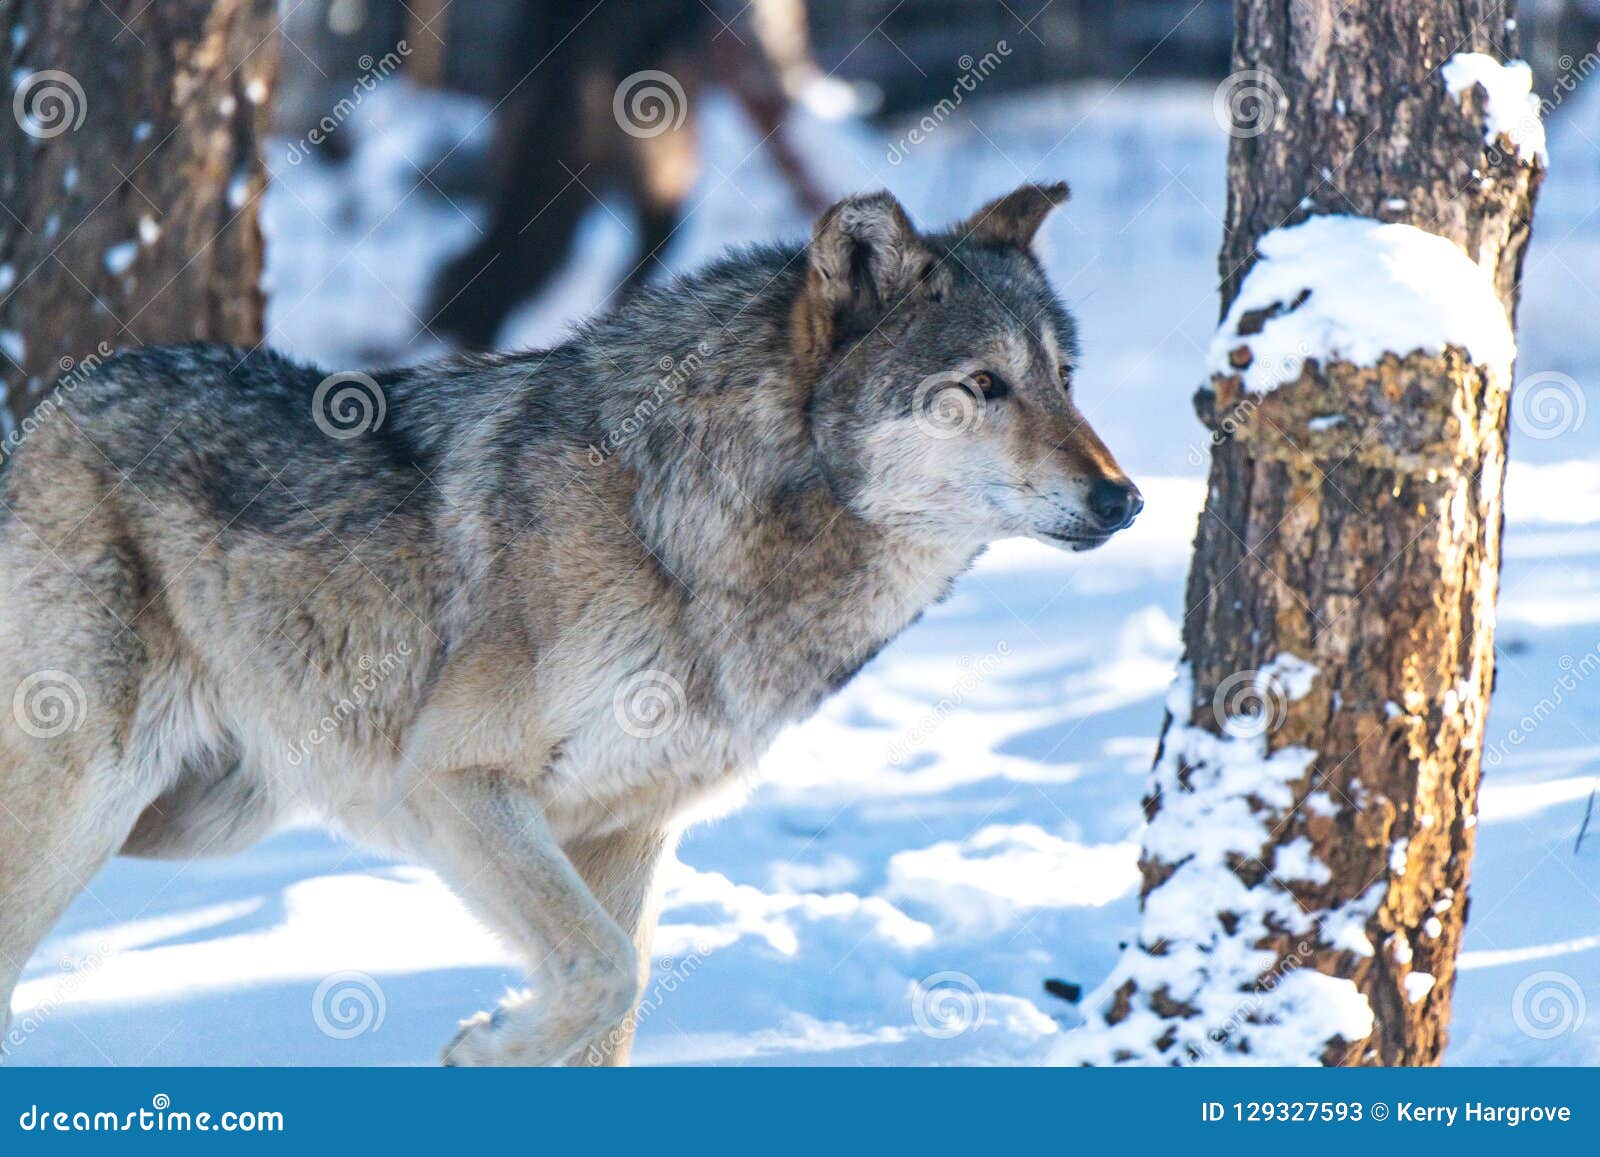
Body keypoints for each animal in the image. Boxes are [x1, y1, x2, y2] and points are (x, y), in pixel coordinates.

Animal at [0, 183, 1139, 1065]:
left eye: (1063, 380)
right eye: (982, 386)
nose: (1125, 499)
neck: (685, 533)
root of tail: (47, 409)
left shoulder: (628, 831)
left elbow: (616, 1004)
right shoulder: (452, 783)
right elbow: (605, 969)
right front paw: (484, 1044)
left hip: (194, 820)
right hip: (88, 810)